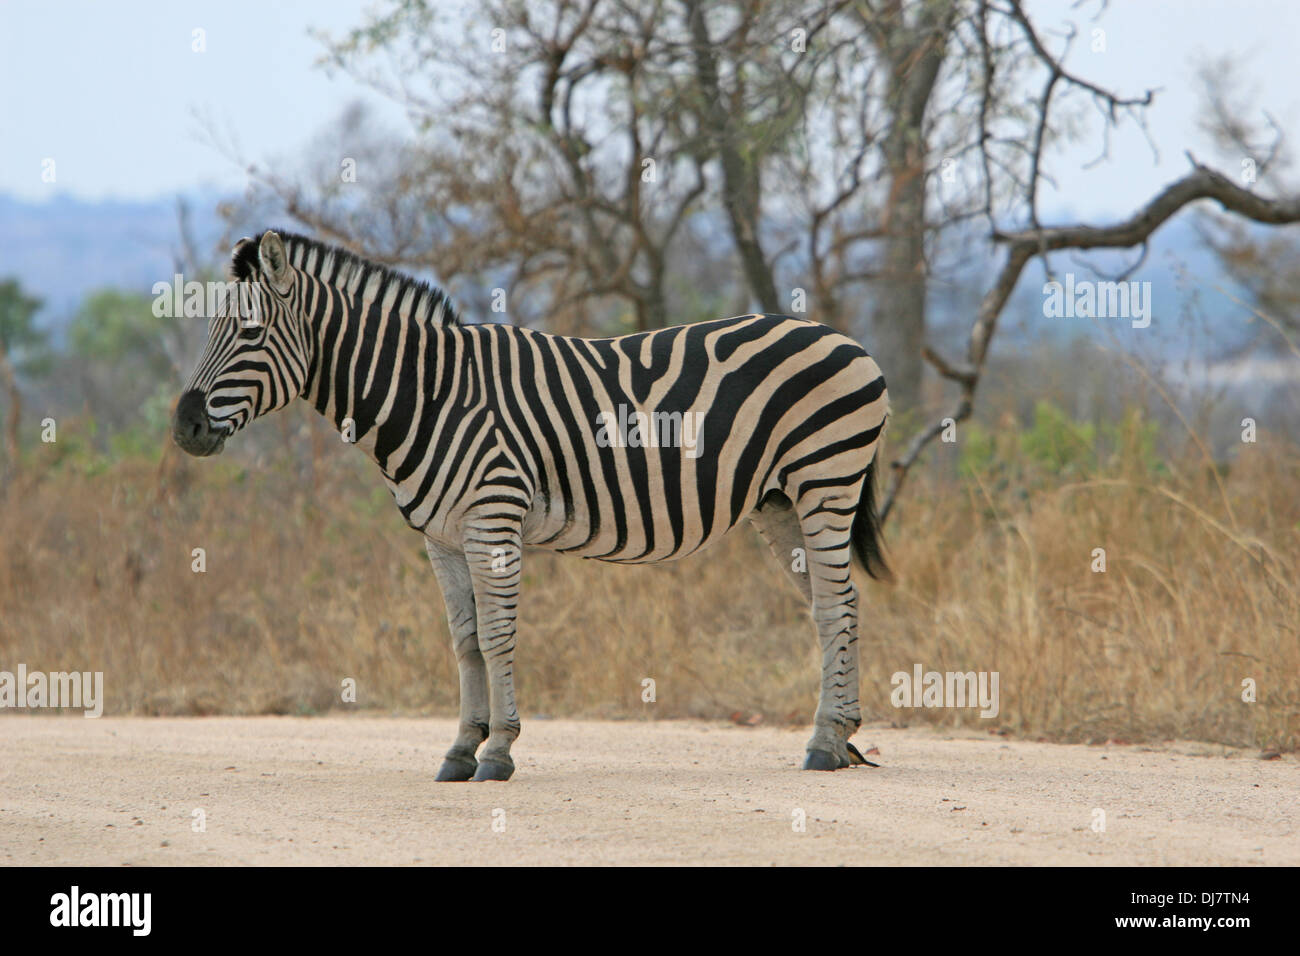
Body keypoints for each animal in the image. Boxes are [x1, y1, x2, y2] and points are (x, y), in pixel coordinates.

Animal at [173, 230, 892, 780]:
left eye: (249, 332)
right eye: (211, 328)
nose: (184, 427)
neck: (429, 394)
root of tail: (842, 337)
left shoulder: (493, 519)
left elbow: (497, 636)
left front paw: (497, 752)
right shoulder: (441, 537)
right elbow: (465, 641)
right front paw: (460, 750)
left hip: (825, 481)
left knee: (837, 603)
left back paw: (824, 745)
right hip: (778, 502)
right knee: (833, 606)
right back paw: (842, 738)